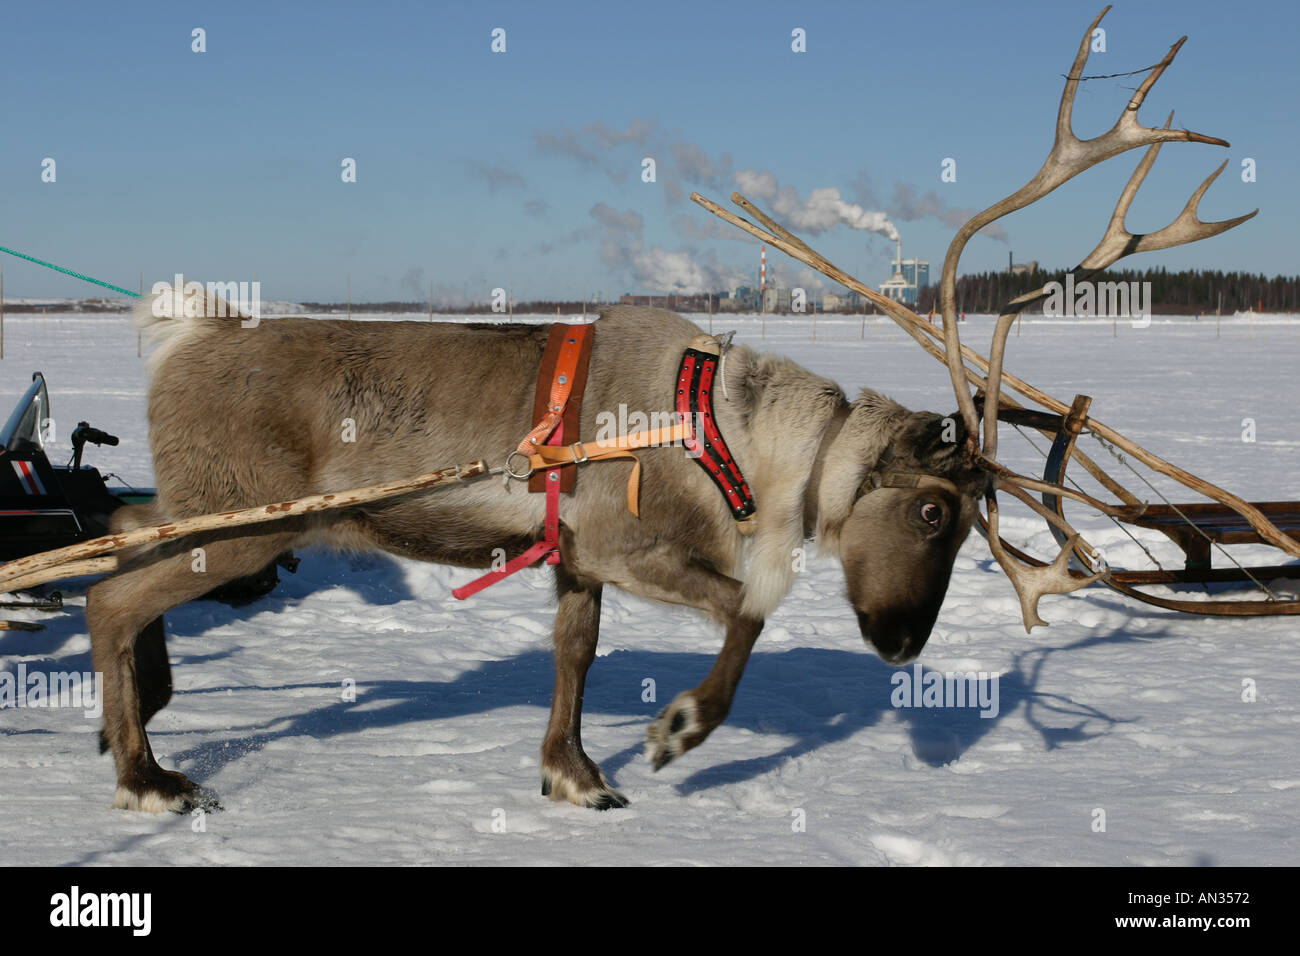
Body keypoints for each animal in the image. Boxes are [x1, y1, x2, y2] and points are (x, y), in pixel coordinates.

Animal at [85, 4, 1254, 814]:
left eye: (973, 524)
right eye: (933, 511)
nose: (900, 645)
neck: (744, 442)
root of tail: (184, 332)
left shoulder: (573, 558)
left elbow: (575, 657)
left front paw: (573, 772)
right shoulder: (628, 542)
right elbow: (749, 606)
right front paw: (677, 730)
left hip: (206, 511)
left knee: (119, 529)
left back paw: (137, 720)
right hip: (243, 523)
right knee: (108, 593)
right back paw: (148, 775)